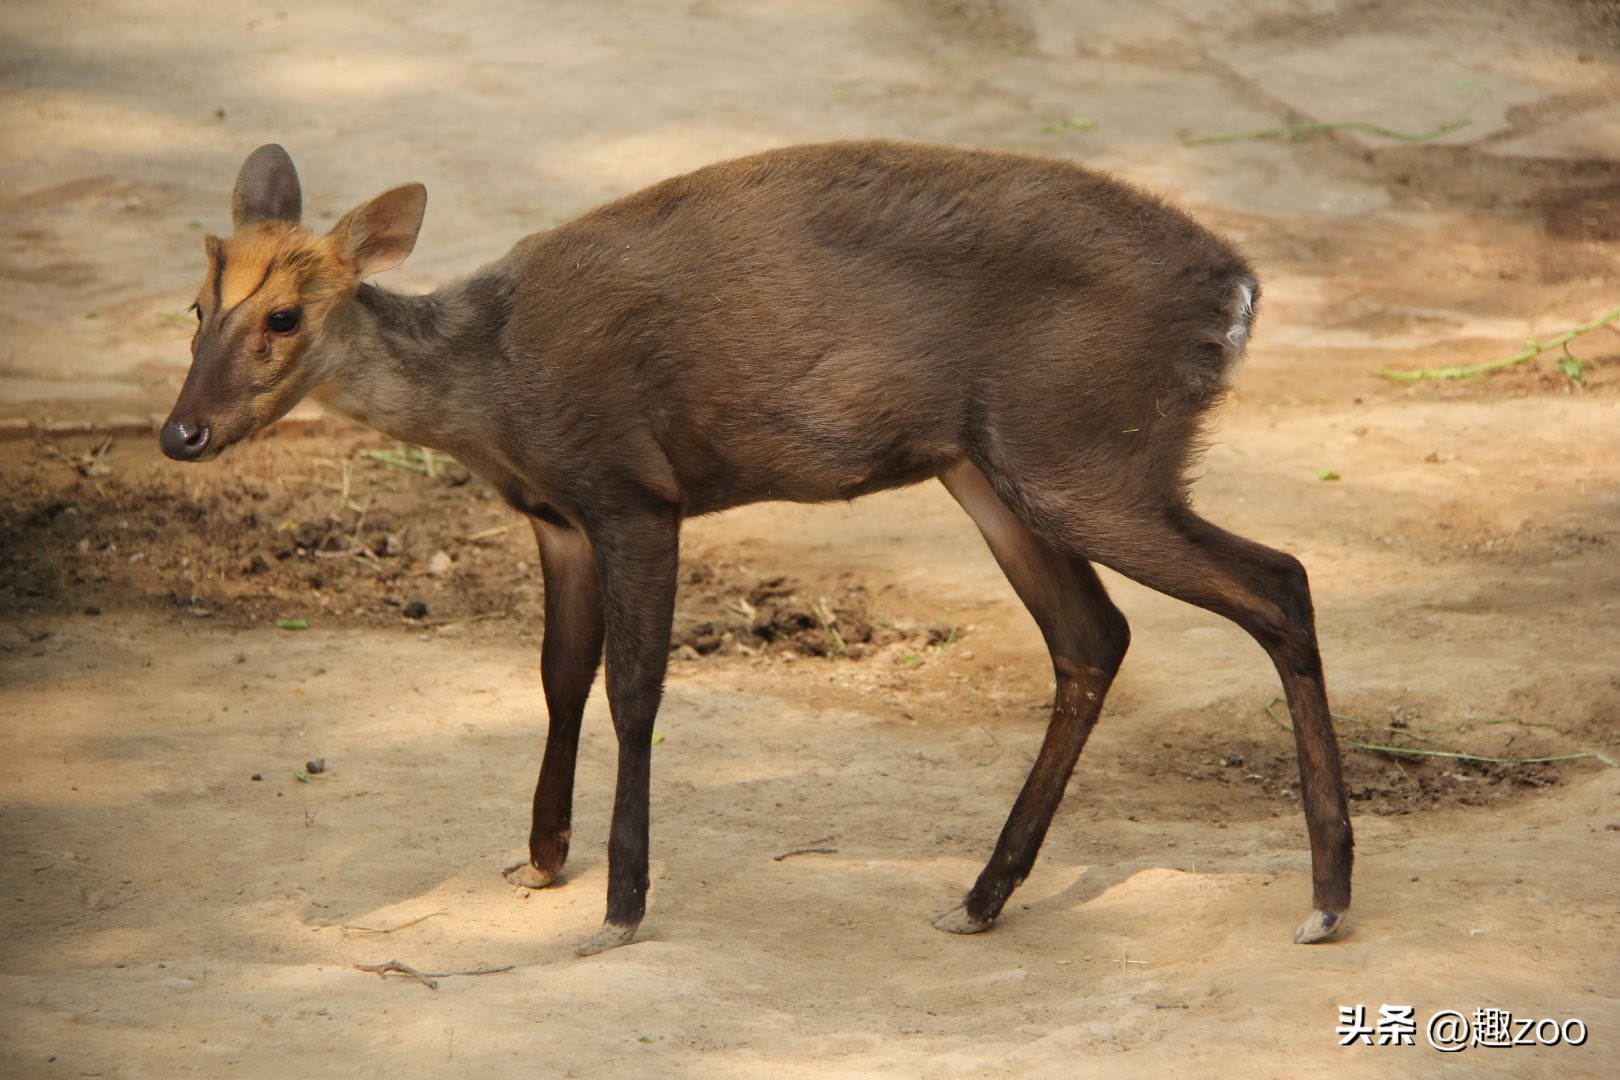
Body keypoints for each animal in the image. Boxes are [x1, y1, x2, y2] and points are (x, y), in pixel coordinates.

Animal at [160, 141, 1352, 956]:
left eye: (283, 317)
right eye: (196, 307)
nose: (182, 433)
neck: (492, 386)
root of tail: (1237, 290)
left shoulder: (635, 491)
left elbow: (633, 688)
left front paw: (621, 905)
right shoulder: (558, 518)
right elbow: (557, 675)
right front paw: (541, 861)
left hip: (1088, 449)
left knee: (1279, 581)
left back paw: (1328, 899)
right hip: (994, 465)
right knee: (1095, 635)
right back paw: (980, 896)